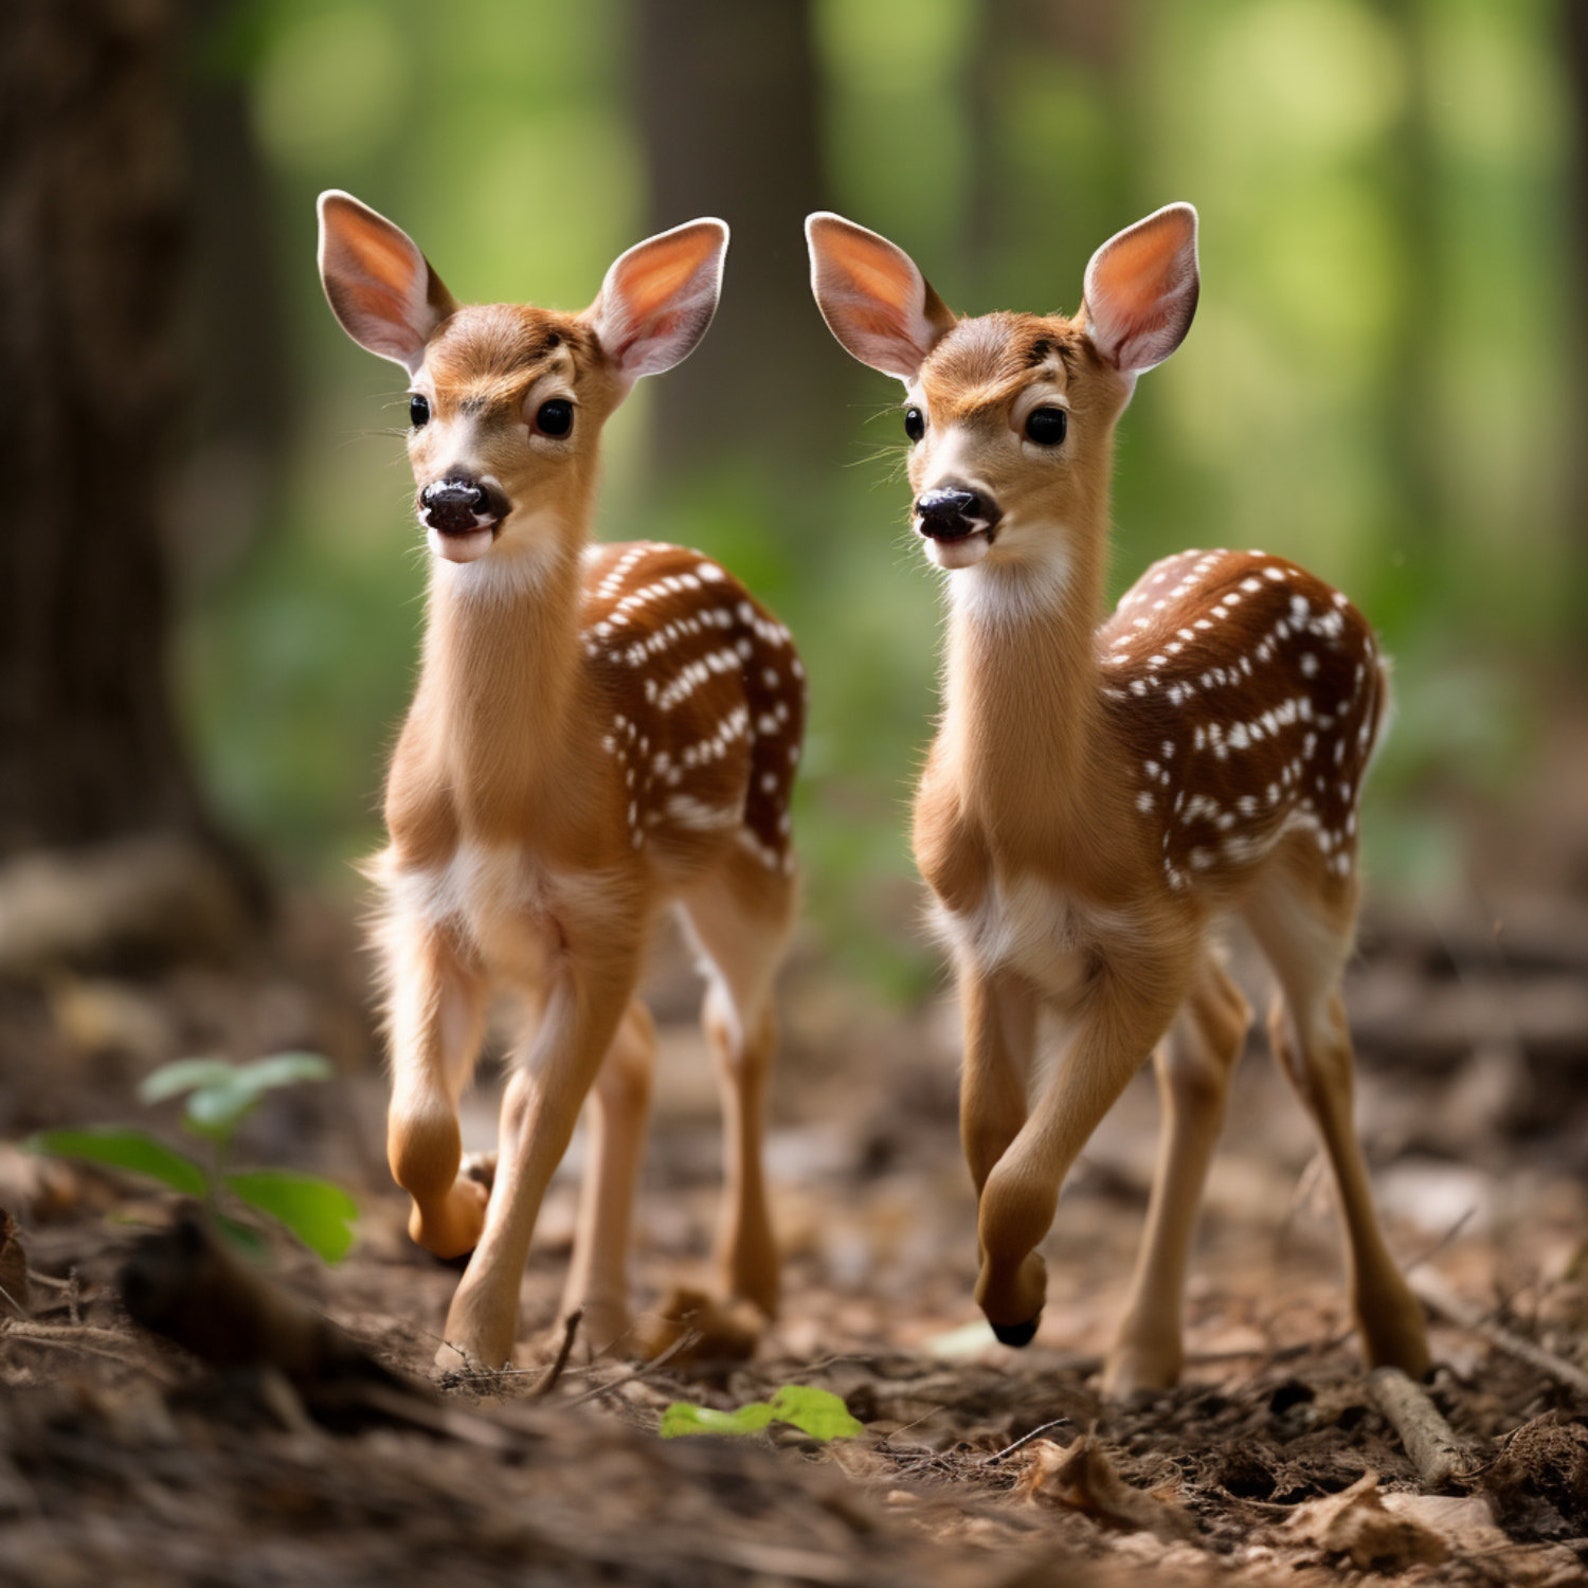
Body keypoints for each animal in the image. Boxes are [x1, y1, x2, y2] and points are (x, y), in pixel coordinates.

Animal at [316, 191, 804, 1370]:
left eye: (553, 412)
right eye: (417, 400)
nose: (456, 497)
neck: (498, 803)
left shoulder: (608, 905)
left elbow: (538, 1118)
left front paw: (474, 1339)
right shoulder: (423, 900)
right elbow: (417, 1123)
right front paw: (453, 1214)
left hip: (752, 858)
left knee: (738, 1030)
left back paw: (743, 1286)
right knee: (640, 1059)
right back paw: (606, 1314)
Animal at [806, 203, 1430, 1398]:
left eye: (1045, 419)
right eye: (913, 414)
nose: (947, 508)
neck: (1049, 812)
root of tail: (1306, 575)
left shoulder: (1143, 943)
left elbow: (1016, 1171)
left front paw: (1019, 1308)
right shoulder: (985, 942)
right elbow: (985, 1135)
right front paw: (1017, 1297)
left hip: (1320, 856)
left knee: (1313, 1046)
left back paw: (1399, 1337)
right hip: (1209, 911)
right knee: (1220, 1039)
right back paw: (1143, 1352)